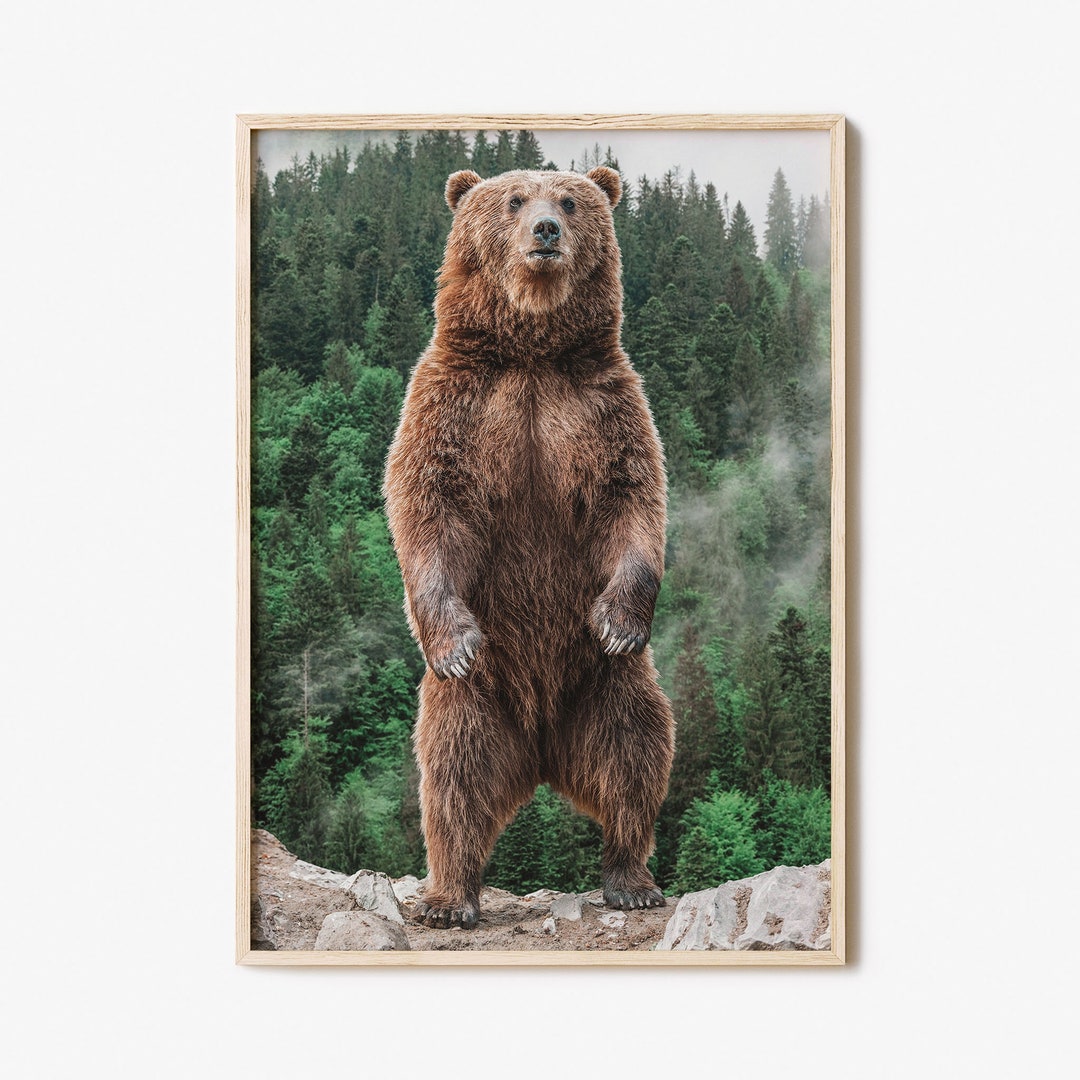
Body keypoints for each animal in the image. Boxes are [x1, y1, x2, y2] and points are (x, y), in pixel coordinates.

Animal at [383, 165, 674, 929]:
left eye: (570, 201)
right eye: (514, 200)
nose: (545, 230)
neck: (532, 352)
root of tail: (541, 751)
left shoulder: (603, 405)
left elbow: (632, 500)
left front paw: (619, 620)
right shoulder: (456, 403)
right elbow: (427, 504)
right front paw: (454, 640)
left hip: (605, 686)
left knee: (636, 752)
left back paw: (631, 878)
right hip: (478, 701)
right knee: (451, 776)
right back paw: (449, 897)